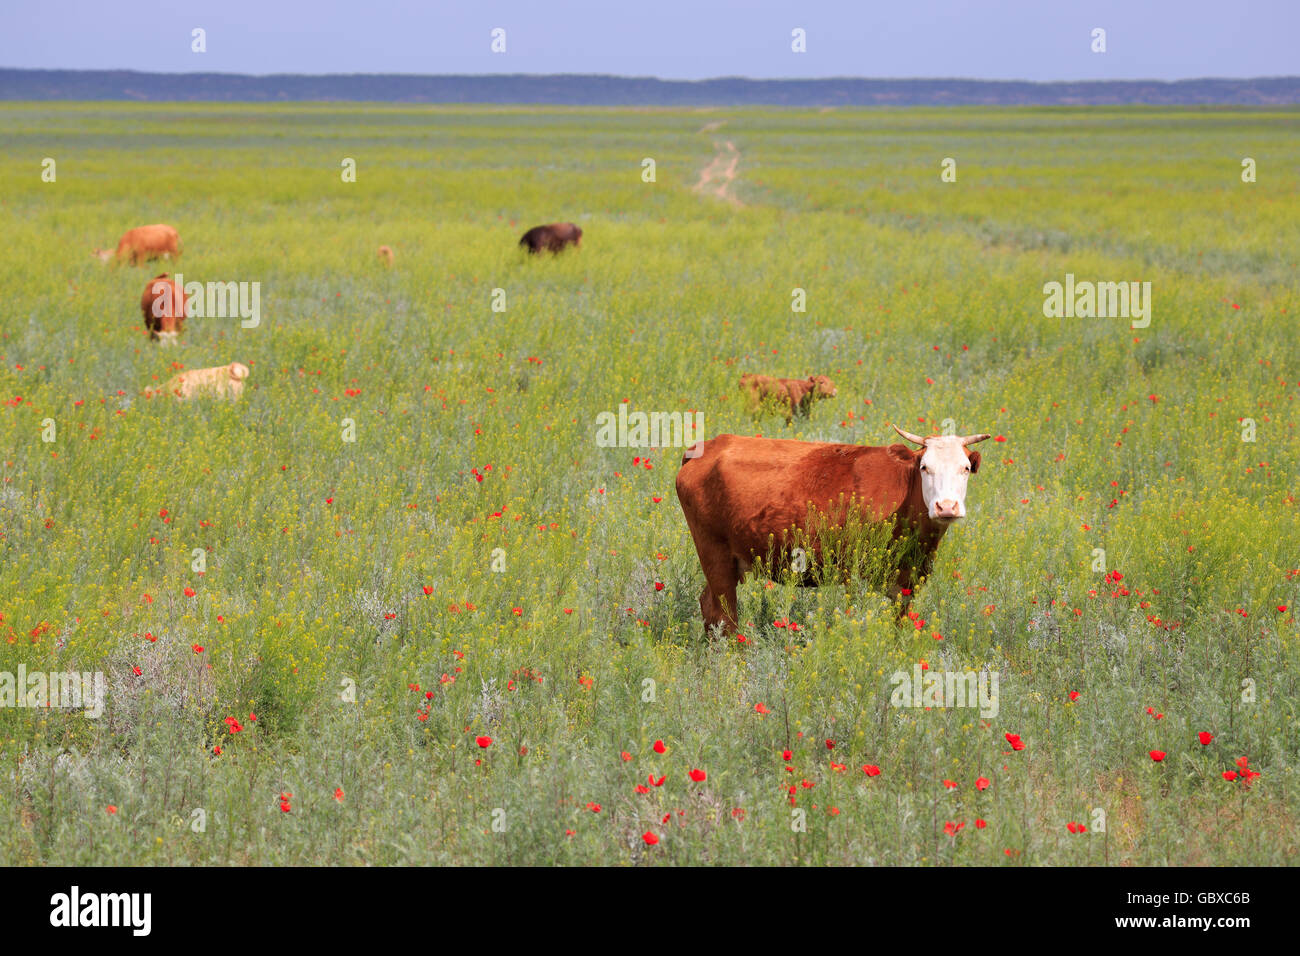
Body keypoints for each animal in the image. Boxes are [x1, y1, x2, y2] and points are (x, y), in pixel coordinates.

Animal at [675, 424, 989, 636]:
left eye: (964, 468)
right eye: (925, 467)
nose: (946, 506)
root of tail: (707, 447)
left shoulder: (907, 582)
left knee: (709, 606)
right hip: (714, 554)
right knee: (725, 617)